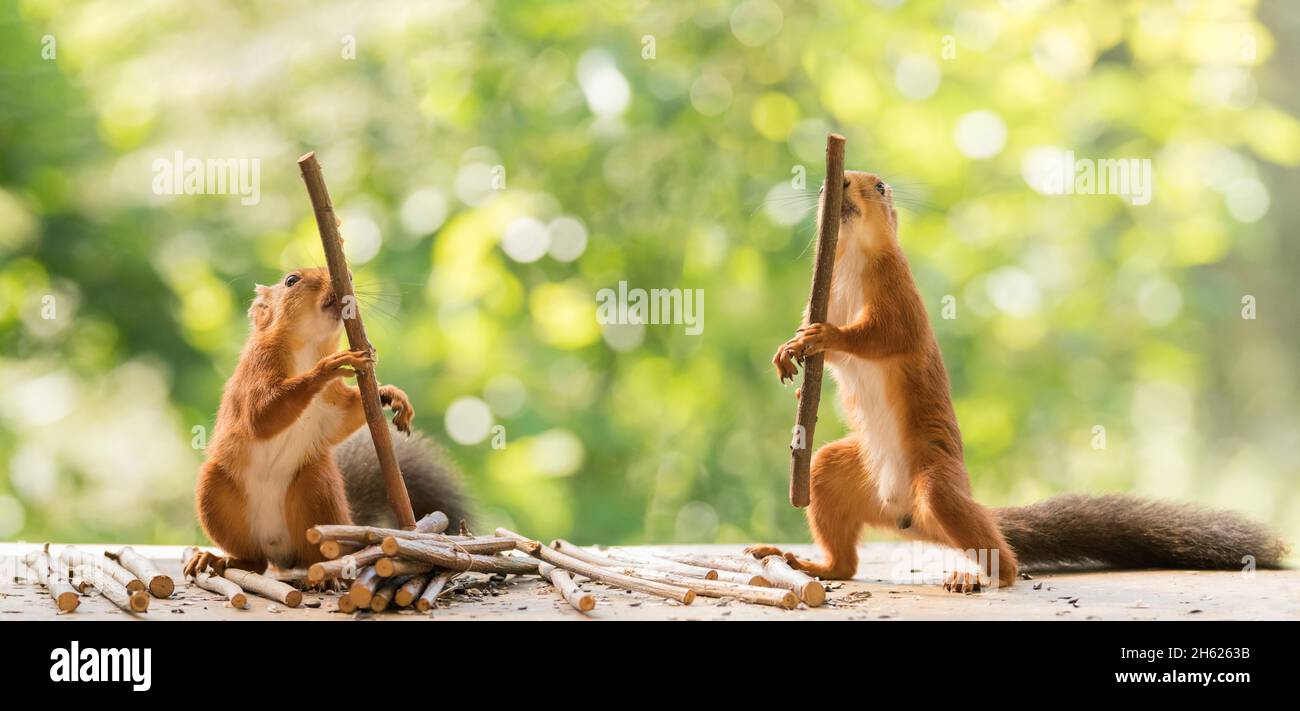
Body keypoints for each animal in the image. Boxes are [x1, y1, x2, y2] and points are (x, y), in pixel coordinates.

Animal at [184, 267, 468, 578]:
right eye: (291, 280)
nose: (348, 277)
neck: (309, 347)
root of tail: (280, 553)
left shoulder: (332, 406)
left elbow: (344, 416)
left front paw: (390, 394)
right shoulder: (256, 371)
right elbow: (261, 416)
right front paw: (329, 365)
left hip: (316, 485)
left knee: (313, 556)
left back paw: (323, 575)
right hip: (216, 492)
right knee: (255, 561)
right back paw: (217, 559)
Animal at [749, 171, 1288, 591]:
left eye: (879, 186)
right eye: (826, 183)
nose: (835, 182)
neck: (852, 260)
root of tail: (905, 514)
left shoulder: (899, 294)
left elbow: (882, 335)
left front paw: (826, 335)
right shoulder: (822, 293)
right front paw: (790, 351)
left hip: (939, 484)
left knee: (997, 554)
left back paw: (980, 575)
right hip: (838, 472)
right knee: (847, 560)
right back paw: (809, 564)